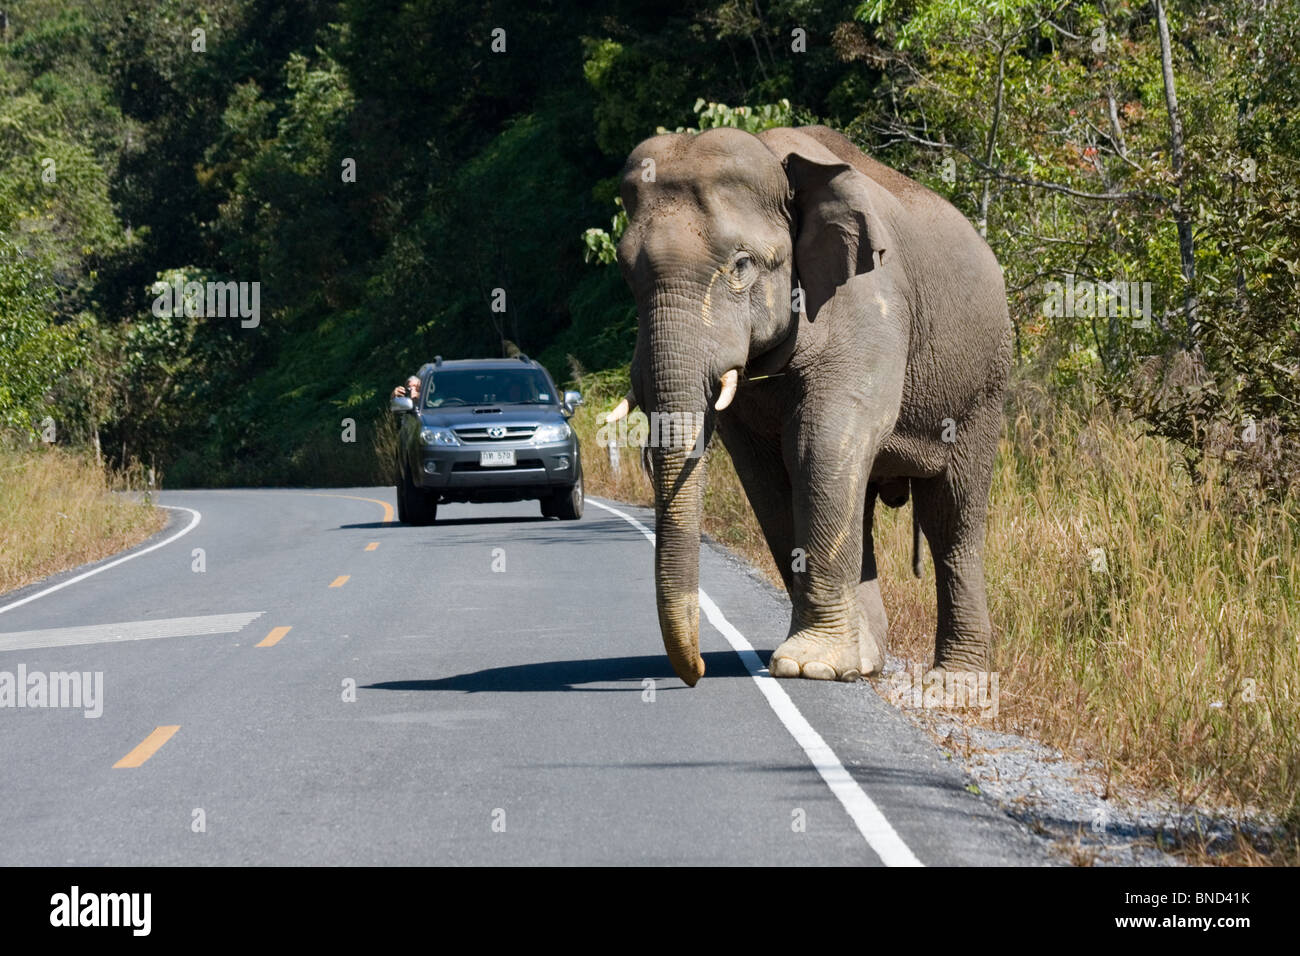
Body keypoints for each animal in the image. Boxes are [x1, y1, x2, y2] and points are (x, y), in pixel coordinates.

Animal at [606, 124, 1012, 686]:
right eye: (626, 274)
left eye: (741, 265)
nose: (697, 672)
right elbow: (768, 475)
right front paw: (833, 662)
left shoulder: (868, 302)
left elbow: (822, 443)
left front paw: (808, 667)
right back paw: (870, 655)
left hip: (984, 383)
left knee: (952, 514)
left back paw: (957, 680)